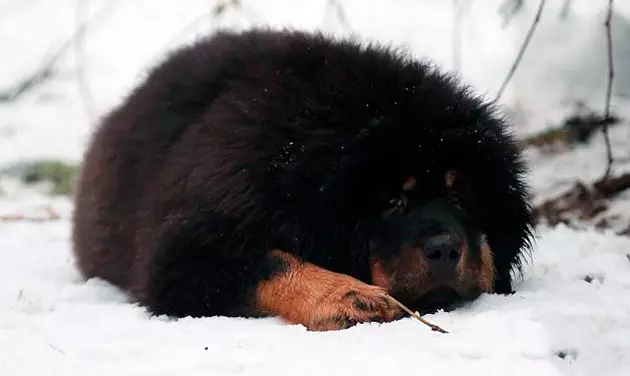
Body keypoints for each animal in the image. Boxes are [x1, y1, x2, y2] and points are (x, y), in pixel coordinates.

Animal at [74, 27, 540, 330]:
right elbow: (270, 259)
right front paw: (346, 295)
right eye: (392, 202)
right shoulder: (184, 252)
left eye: (461, 197)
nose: (444, 248)